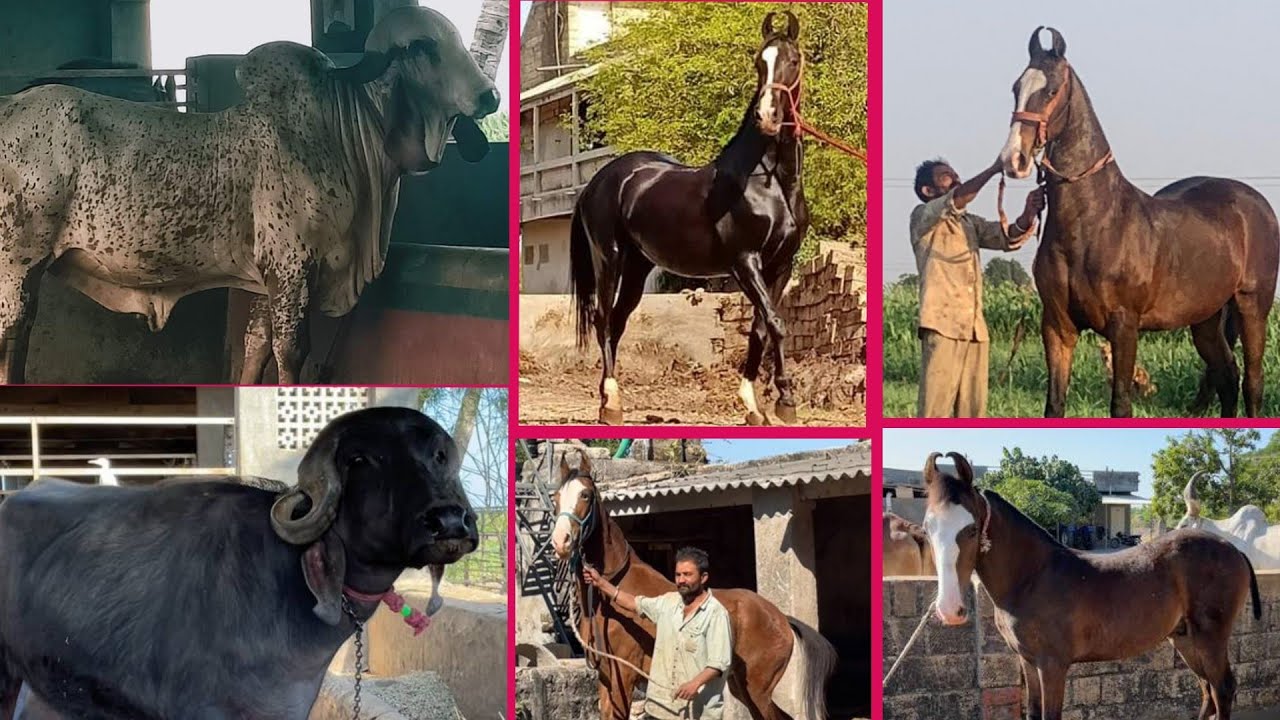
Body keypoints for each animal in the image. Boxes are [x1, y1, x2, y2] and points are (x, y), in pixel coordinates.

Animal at [0, 5, 500, 384]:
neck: (343, 132)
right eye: (422, 47)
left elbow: (256, 344)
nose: (490, 96)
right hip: (19, 263)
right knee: (12, 337)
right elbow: (290, 350)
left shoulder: (269, 275)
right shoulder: (293, 265)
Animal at [549, 450, 836, 720]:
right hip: (742, 687)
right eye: (557, 497)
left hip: (758, 690)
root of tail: (782, 619)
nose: (561, 542)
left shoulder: (624, 675)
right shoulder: (607, 677)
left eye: (585, 495)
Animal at [570, 11, 810, 426]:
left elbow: (762, 328)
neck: (769, 181)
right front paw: (786, 401)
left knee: (617, 320)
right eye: (758, 62)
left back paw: (610, 400)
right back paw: (610, 403)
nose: (767, 117)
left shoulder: (781, 264)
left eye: (792, 60)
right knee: (602, 318)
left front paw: (754, 405)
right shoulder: (745, 262)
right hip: (608, 258)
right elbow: (776, 324)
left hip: (638, 267)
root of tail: (599, 181)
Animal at [922, 451, 1260, 720]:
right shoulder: (1028, 662)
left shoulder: (1052, 666)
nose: (949, 609)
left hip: (1210, 638)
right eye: (927, 528)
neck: (1031, 577)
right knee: (1207, 690)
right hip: (1186, 639)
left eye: (971, 529)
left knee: (1222, 689)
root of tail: (1233, 549)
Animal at [1000, 27, 1279, 418]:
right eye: (1016, 88)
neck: (1093, 225)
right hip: (1206, 320)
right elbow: (1054, 405)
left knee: (1252, 382)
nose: (1014, 159)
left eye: (1052, 90)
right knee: (1227, 376)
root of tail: (1255, 204)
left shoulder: (1124, 327)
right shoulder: (1057, 327)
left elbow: (1121, 405)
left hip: (1252, 307)